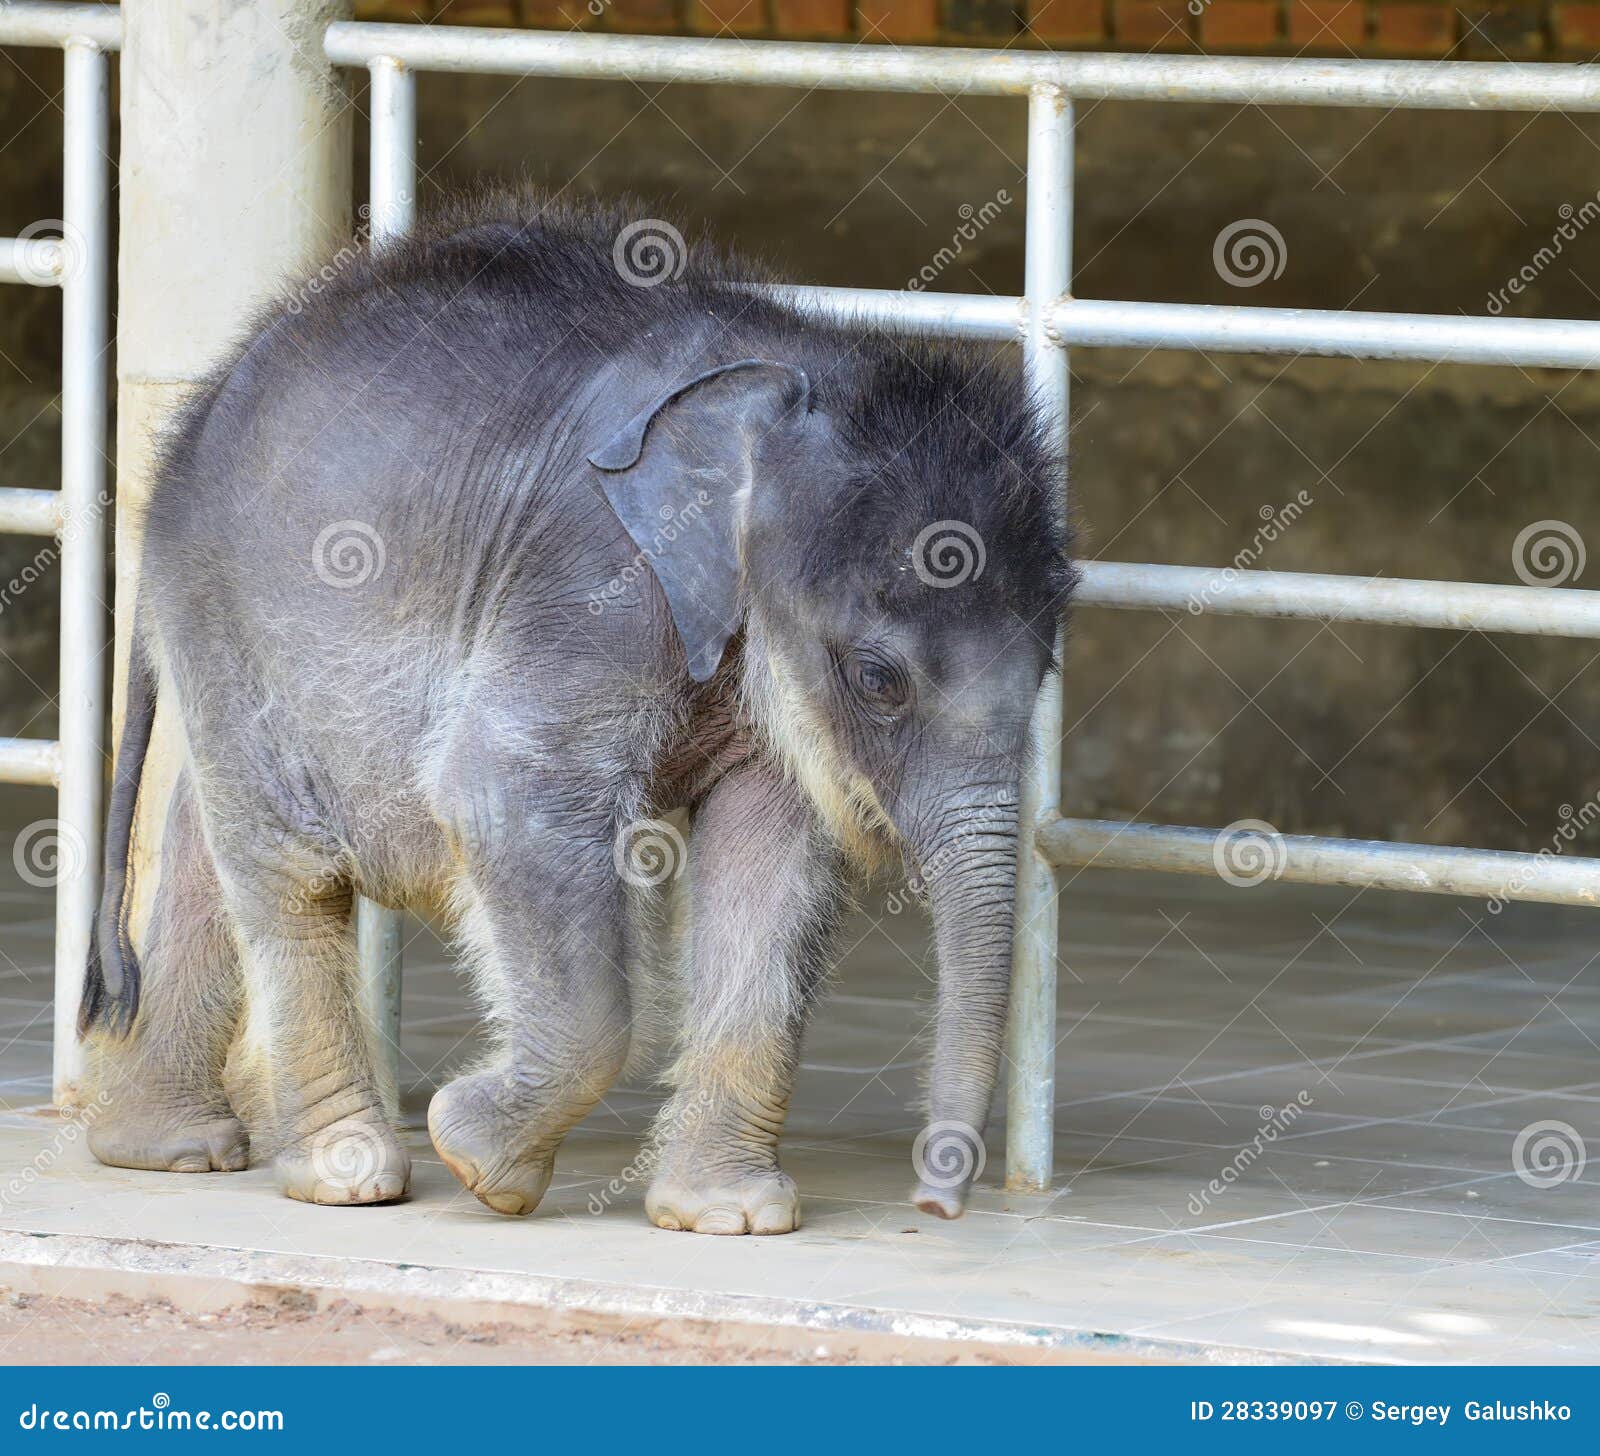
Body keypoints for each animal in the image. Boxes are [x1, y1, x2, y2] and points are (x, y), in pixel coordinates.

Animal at [80, 188, 1074, 1233]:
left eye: (1050, 665)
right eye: (880, 679)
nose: (934, 1203)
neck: (793, 381)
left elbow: (772, 854)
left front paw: (728, 1218)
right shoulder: (591, 581)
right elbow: (502, 796)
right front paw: (477, 1156)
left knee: (208, 834)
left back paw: (164, 1150)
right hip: (227, 605)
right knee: (290, 865)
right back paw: (348, 1177)